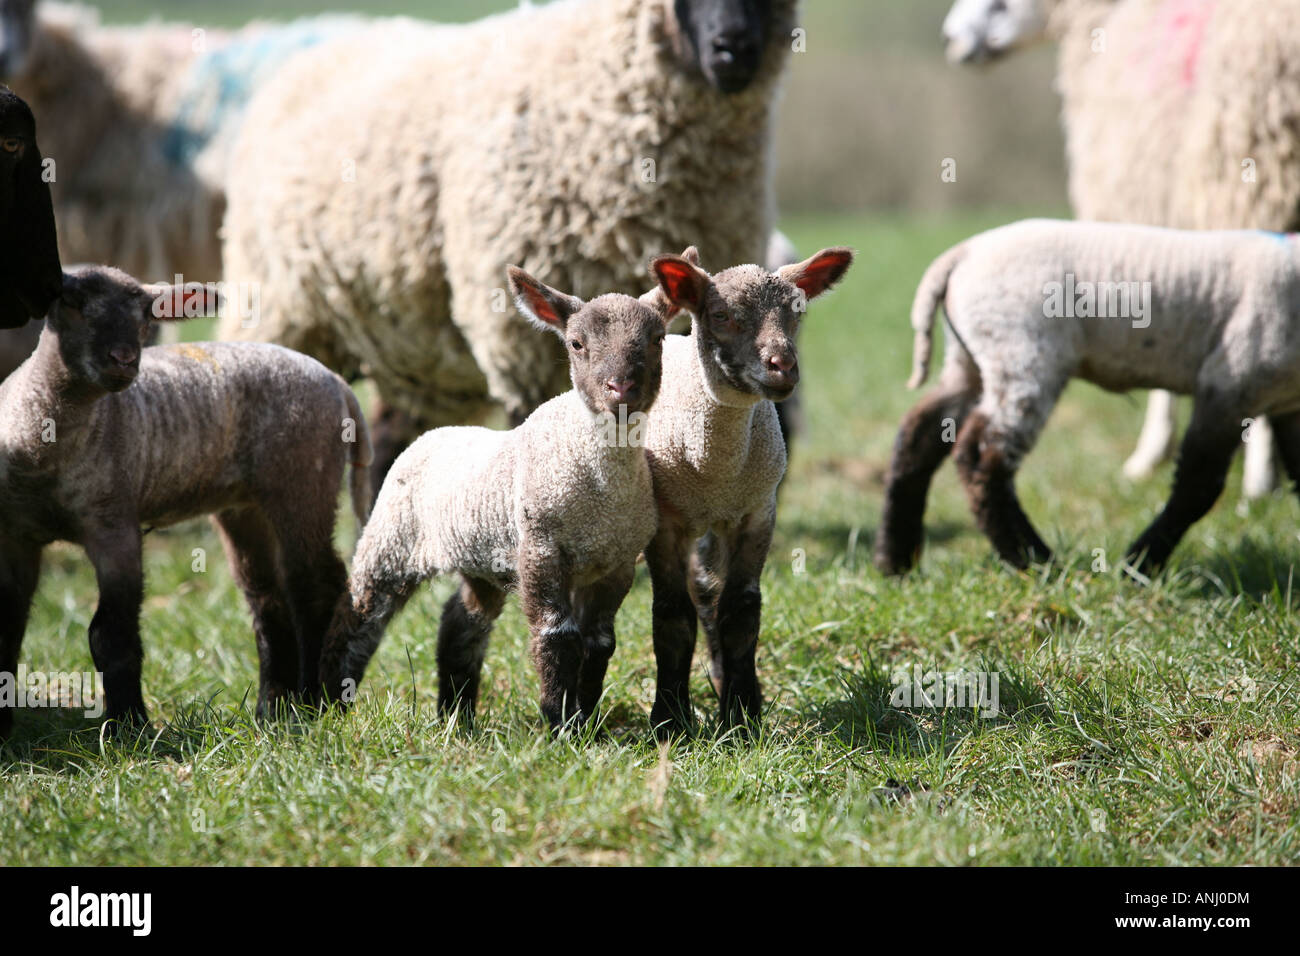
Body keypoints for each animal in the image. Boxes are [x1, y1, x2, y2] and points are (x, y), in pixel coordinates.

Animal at [0, 265, 372, 737]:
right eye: (71, 301)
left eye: (147, 313)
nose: (124, 359)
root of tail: (336, 381)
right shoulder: (14, 536)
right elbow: (7, 624)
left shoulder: (113, 525)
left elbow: (110, 635)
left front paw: (129, 729)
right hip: (246, 506)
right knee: (267, 597)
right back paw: (272, 709)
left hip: (303, 483)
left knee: (314, 586)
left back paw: (317, 702)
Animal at [319, 261, 689, 731]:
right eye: (576, 343)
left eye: (658, 339)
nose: (620, 388)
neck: (602, 489)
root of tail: (434, 433)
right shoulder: (540, 548)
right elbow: (556, 637)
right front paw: (559, 724)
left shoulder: (616, 562)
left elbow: (599, 642)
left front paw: (586, 718)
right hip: (391, 539)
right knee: (358, 618)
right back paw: (328, 704)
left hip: (481, 558)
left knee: (460, 623)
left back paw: (456, 717)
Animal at [638, 244, 853, 737]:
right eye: (722, 315)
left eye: (797, 311)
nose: (784, 366)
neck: (716, 467)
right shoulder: (666, 521)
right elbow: (671, 616)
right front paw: (669, 722)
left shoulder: (757, 512)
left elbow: (740, 612)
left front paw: (741, 717)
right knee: (698, 593)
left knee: (710, 594)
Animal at [873, 218, 1300, 578]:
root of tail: (962, 254)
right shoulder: (1230, 382)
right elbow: (1199, 486)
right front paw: (1138, 565)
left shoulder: (1287, 405)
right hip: (1022, 353)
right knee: (982, 458)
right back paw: (1035, 561)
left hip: (970, 360)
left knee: (919, 434)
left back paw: (895, 561)